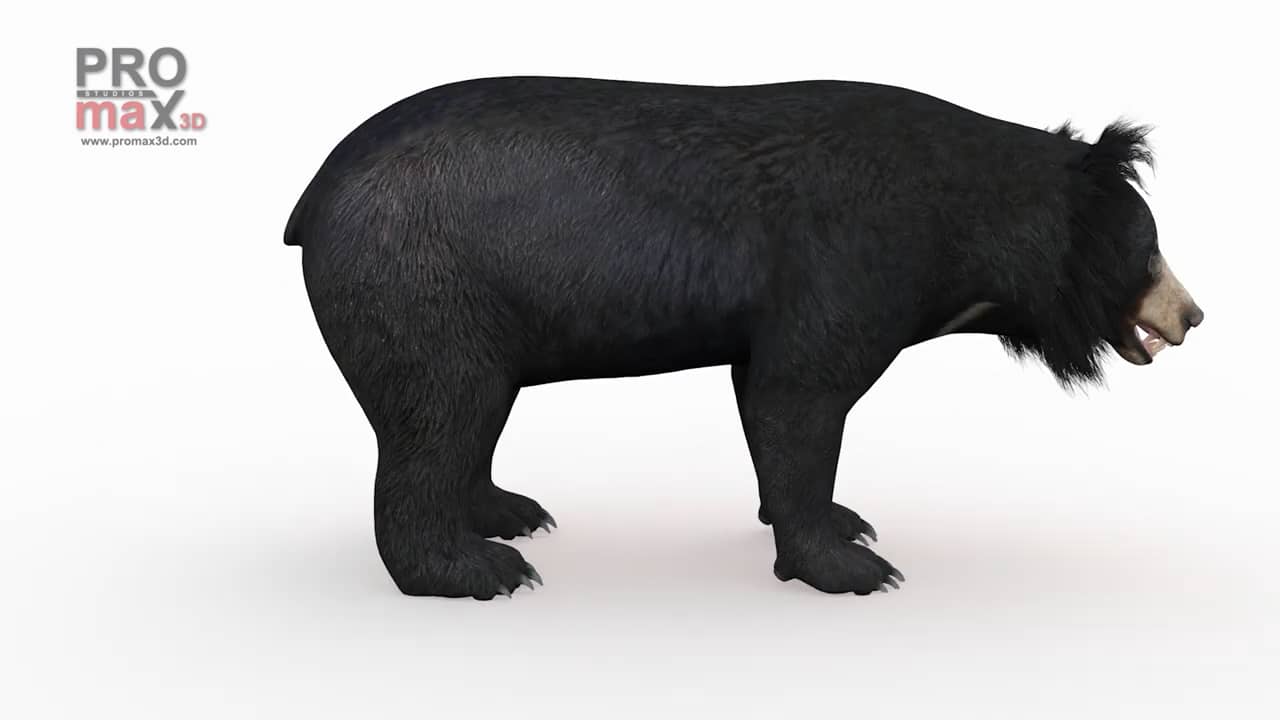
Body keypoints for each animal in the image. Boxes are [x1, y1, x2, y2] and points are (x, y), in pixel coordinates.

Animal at [285, 77, 1203, 599]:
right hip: (420, 279)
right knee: (436, 413)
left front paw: (844, 521)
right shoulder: (849, 256)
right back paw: (473, 570)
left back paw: (507, 515)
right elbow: (802, 396)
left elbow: (764, 397)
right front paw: (854, 569)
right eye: (1150, 247)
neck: (969, 217)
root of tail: (310, 200)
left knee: (466, 415)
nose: (1193, 316)